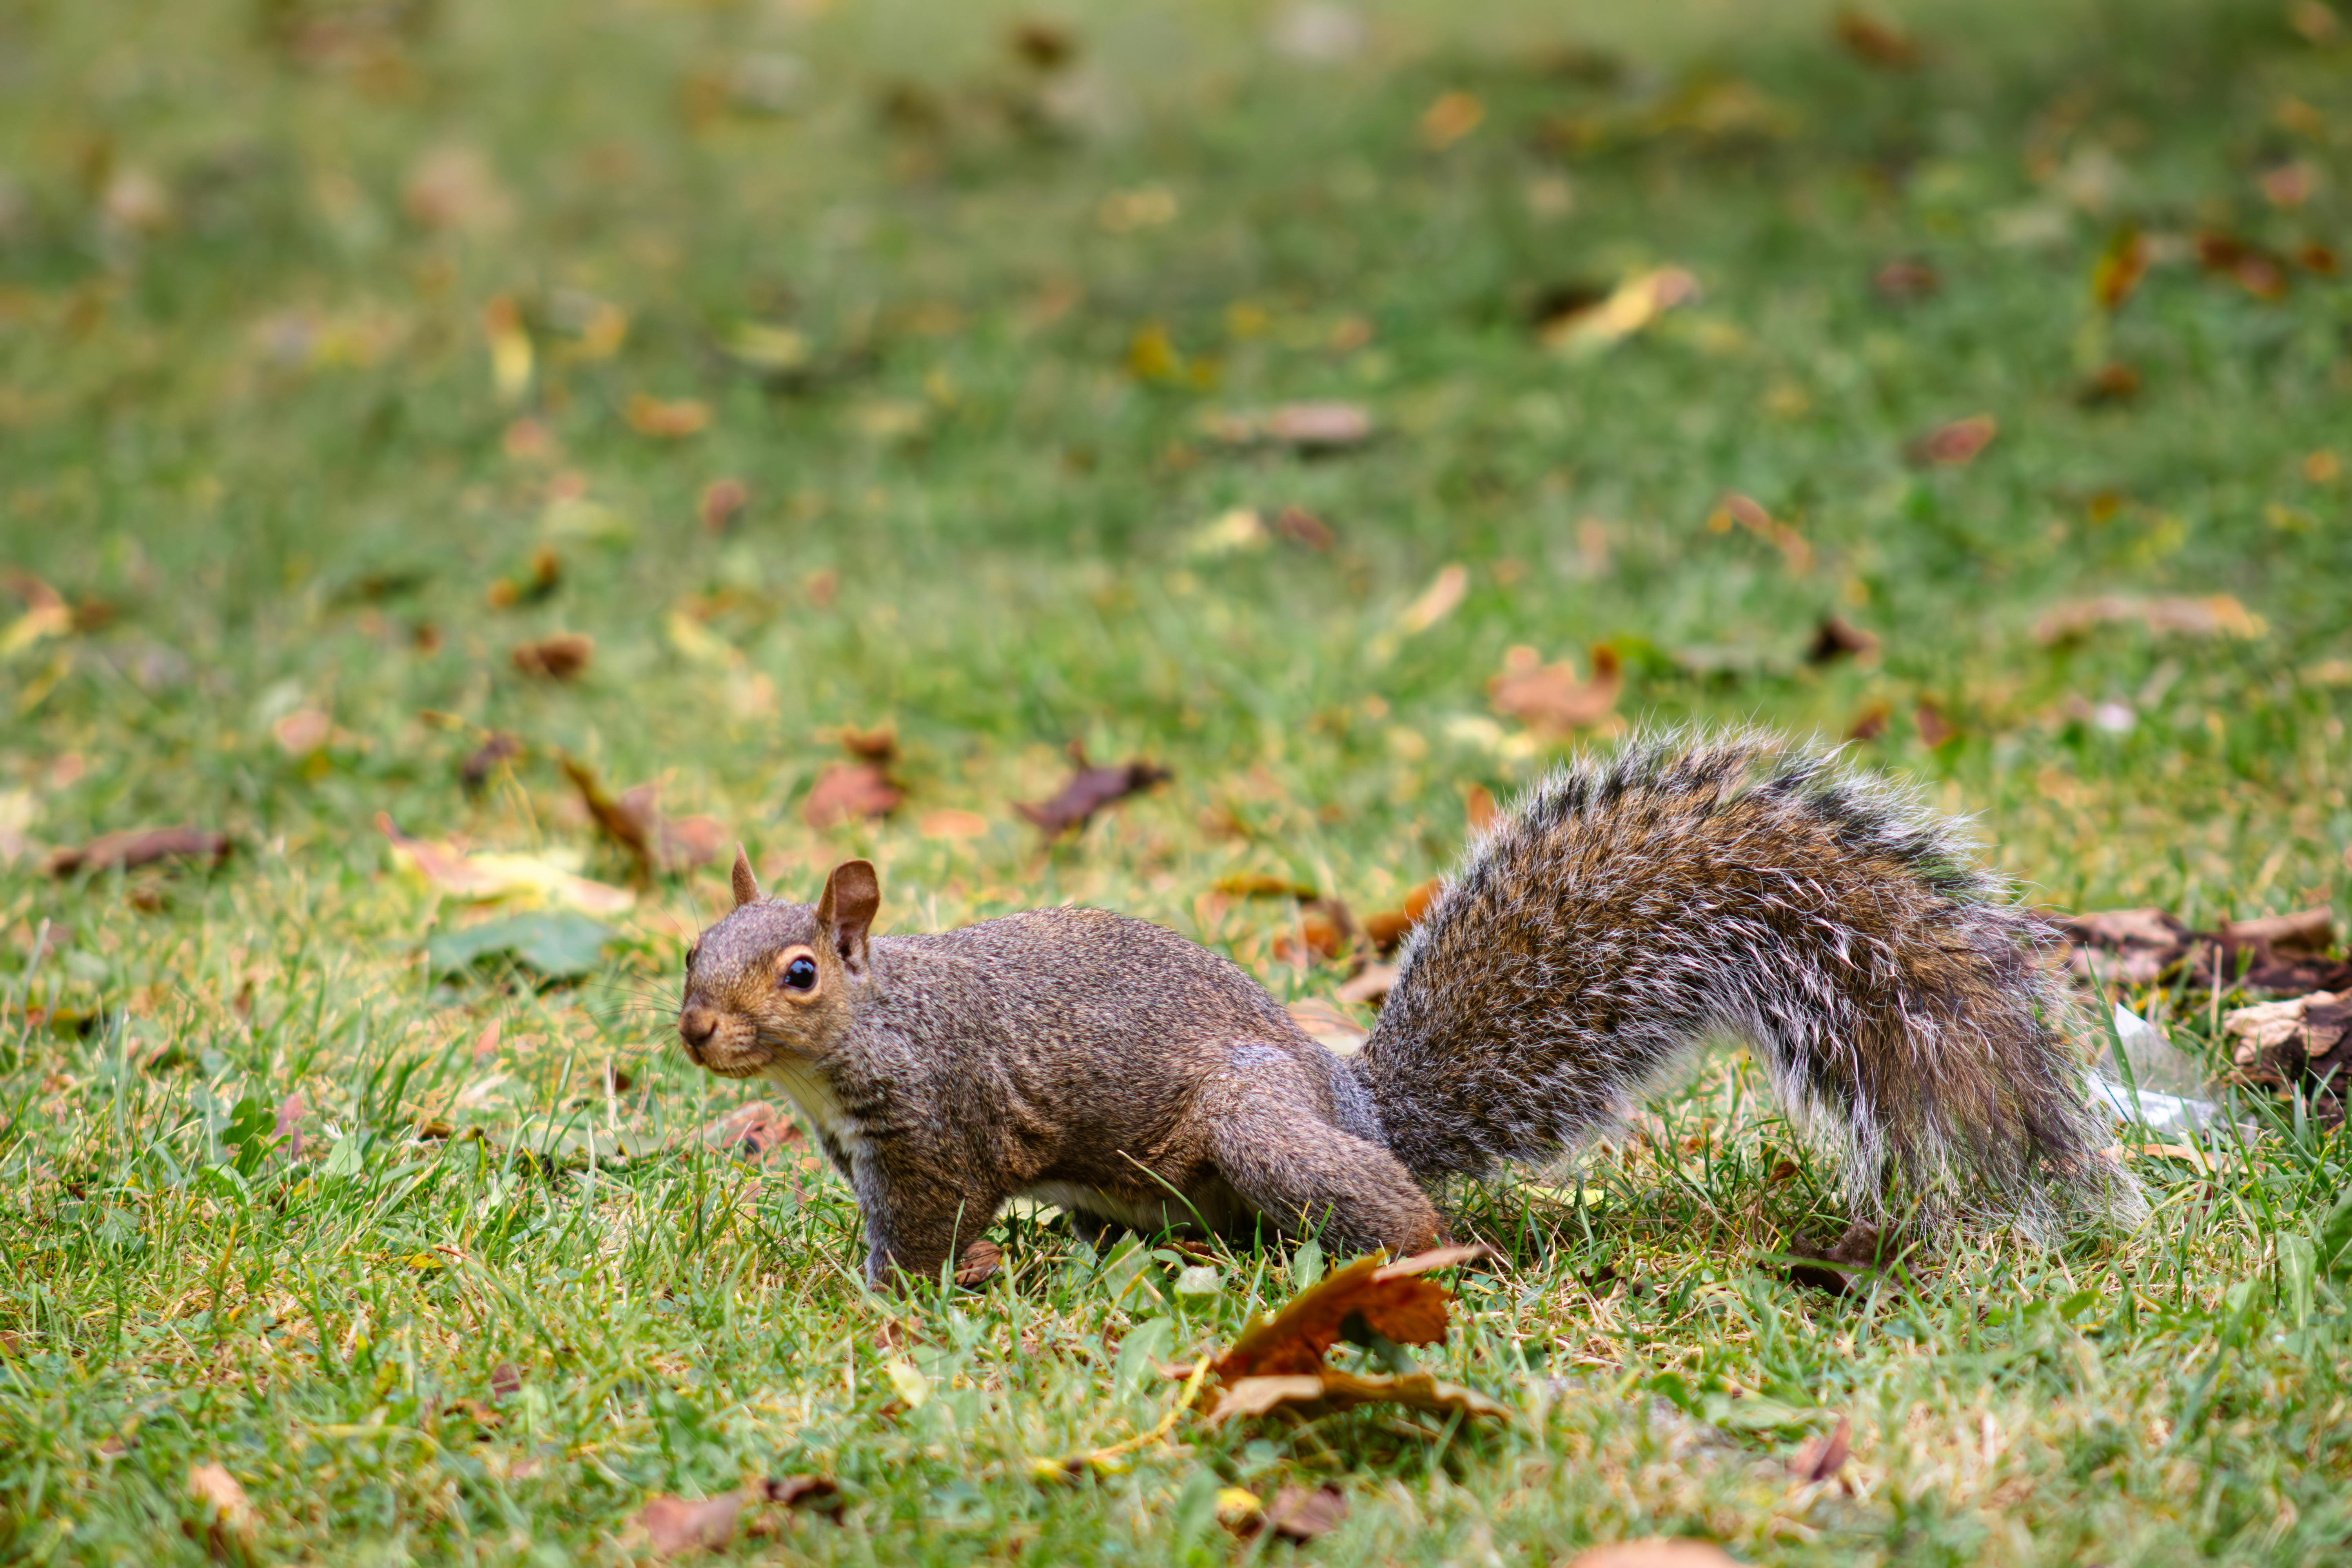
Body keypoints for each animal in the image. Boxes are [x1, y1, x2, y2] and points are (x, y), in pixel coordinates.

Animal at [677, 730, 2142, 1287]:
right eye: (692, 948)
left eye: (799, 972)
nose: (695, 1032)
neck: (861, 1039)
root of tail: (1354, 1101)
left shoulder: (938, 1129)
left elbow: (930, 1228)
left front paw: (885, 1300)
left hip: (1255, 1124)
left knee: (1388, 1209)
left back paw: (1429, 1258)